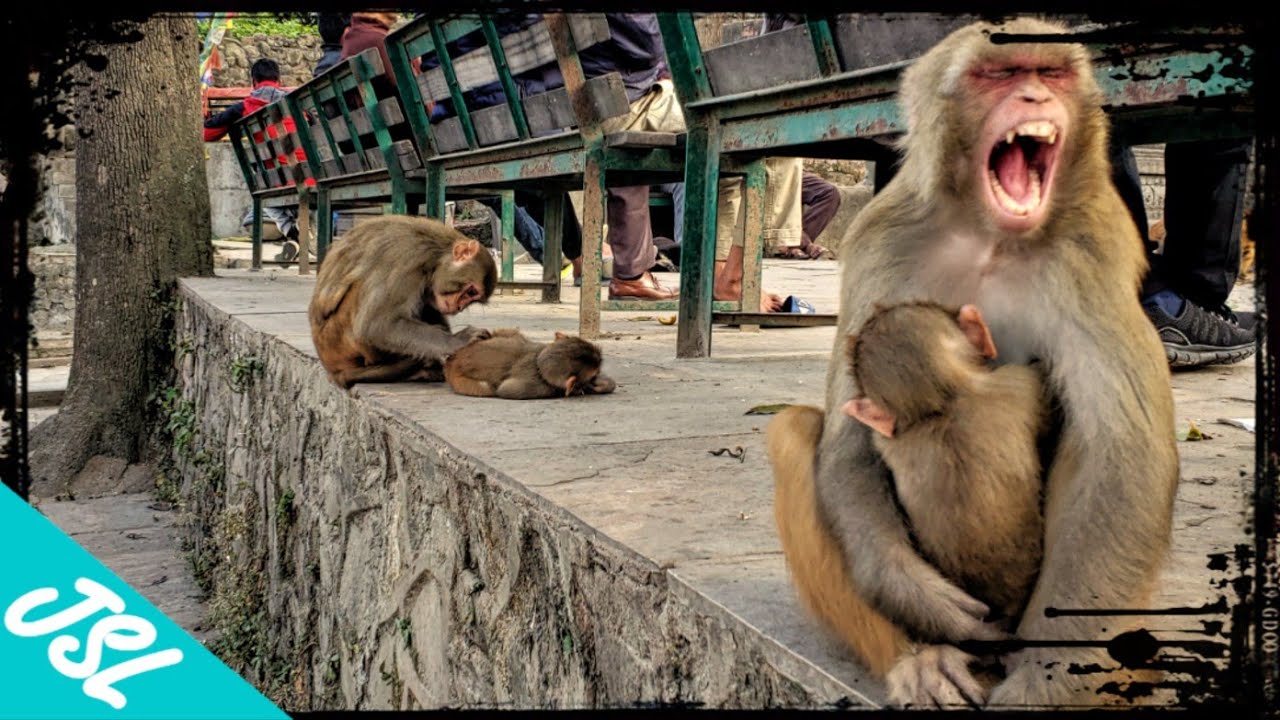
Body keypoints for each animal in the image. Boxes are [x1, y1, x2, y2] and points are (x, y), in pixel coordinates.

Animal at [309, 215, 497, 390]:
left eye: (472, 297)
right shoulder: (406, 259)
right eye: (471, 291)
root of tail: (332, 368)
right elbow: (376, 325)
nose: (458, 307)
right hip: (337, 342)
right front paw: (458, 340)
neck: (435, 255)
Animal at [443, 328, 617, 399]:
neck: (538, 361)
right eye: (592, 376)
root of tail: (454, 359)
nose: (596, 379)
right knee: (486, 388)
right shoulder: (539, 386)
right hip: (460, 381)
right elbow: (506, 390)